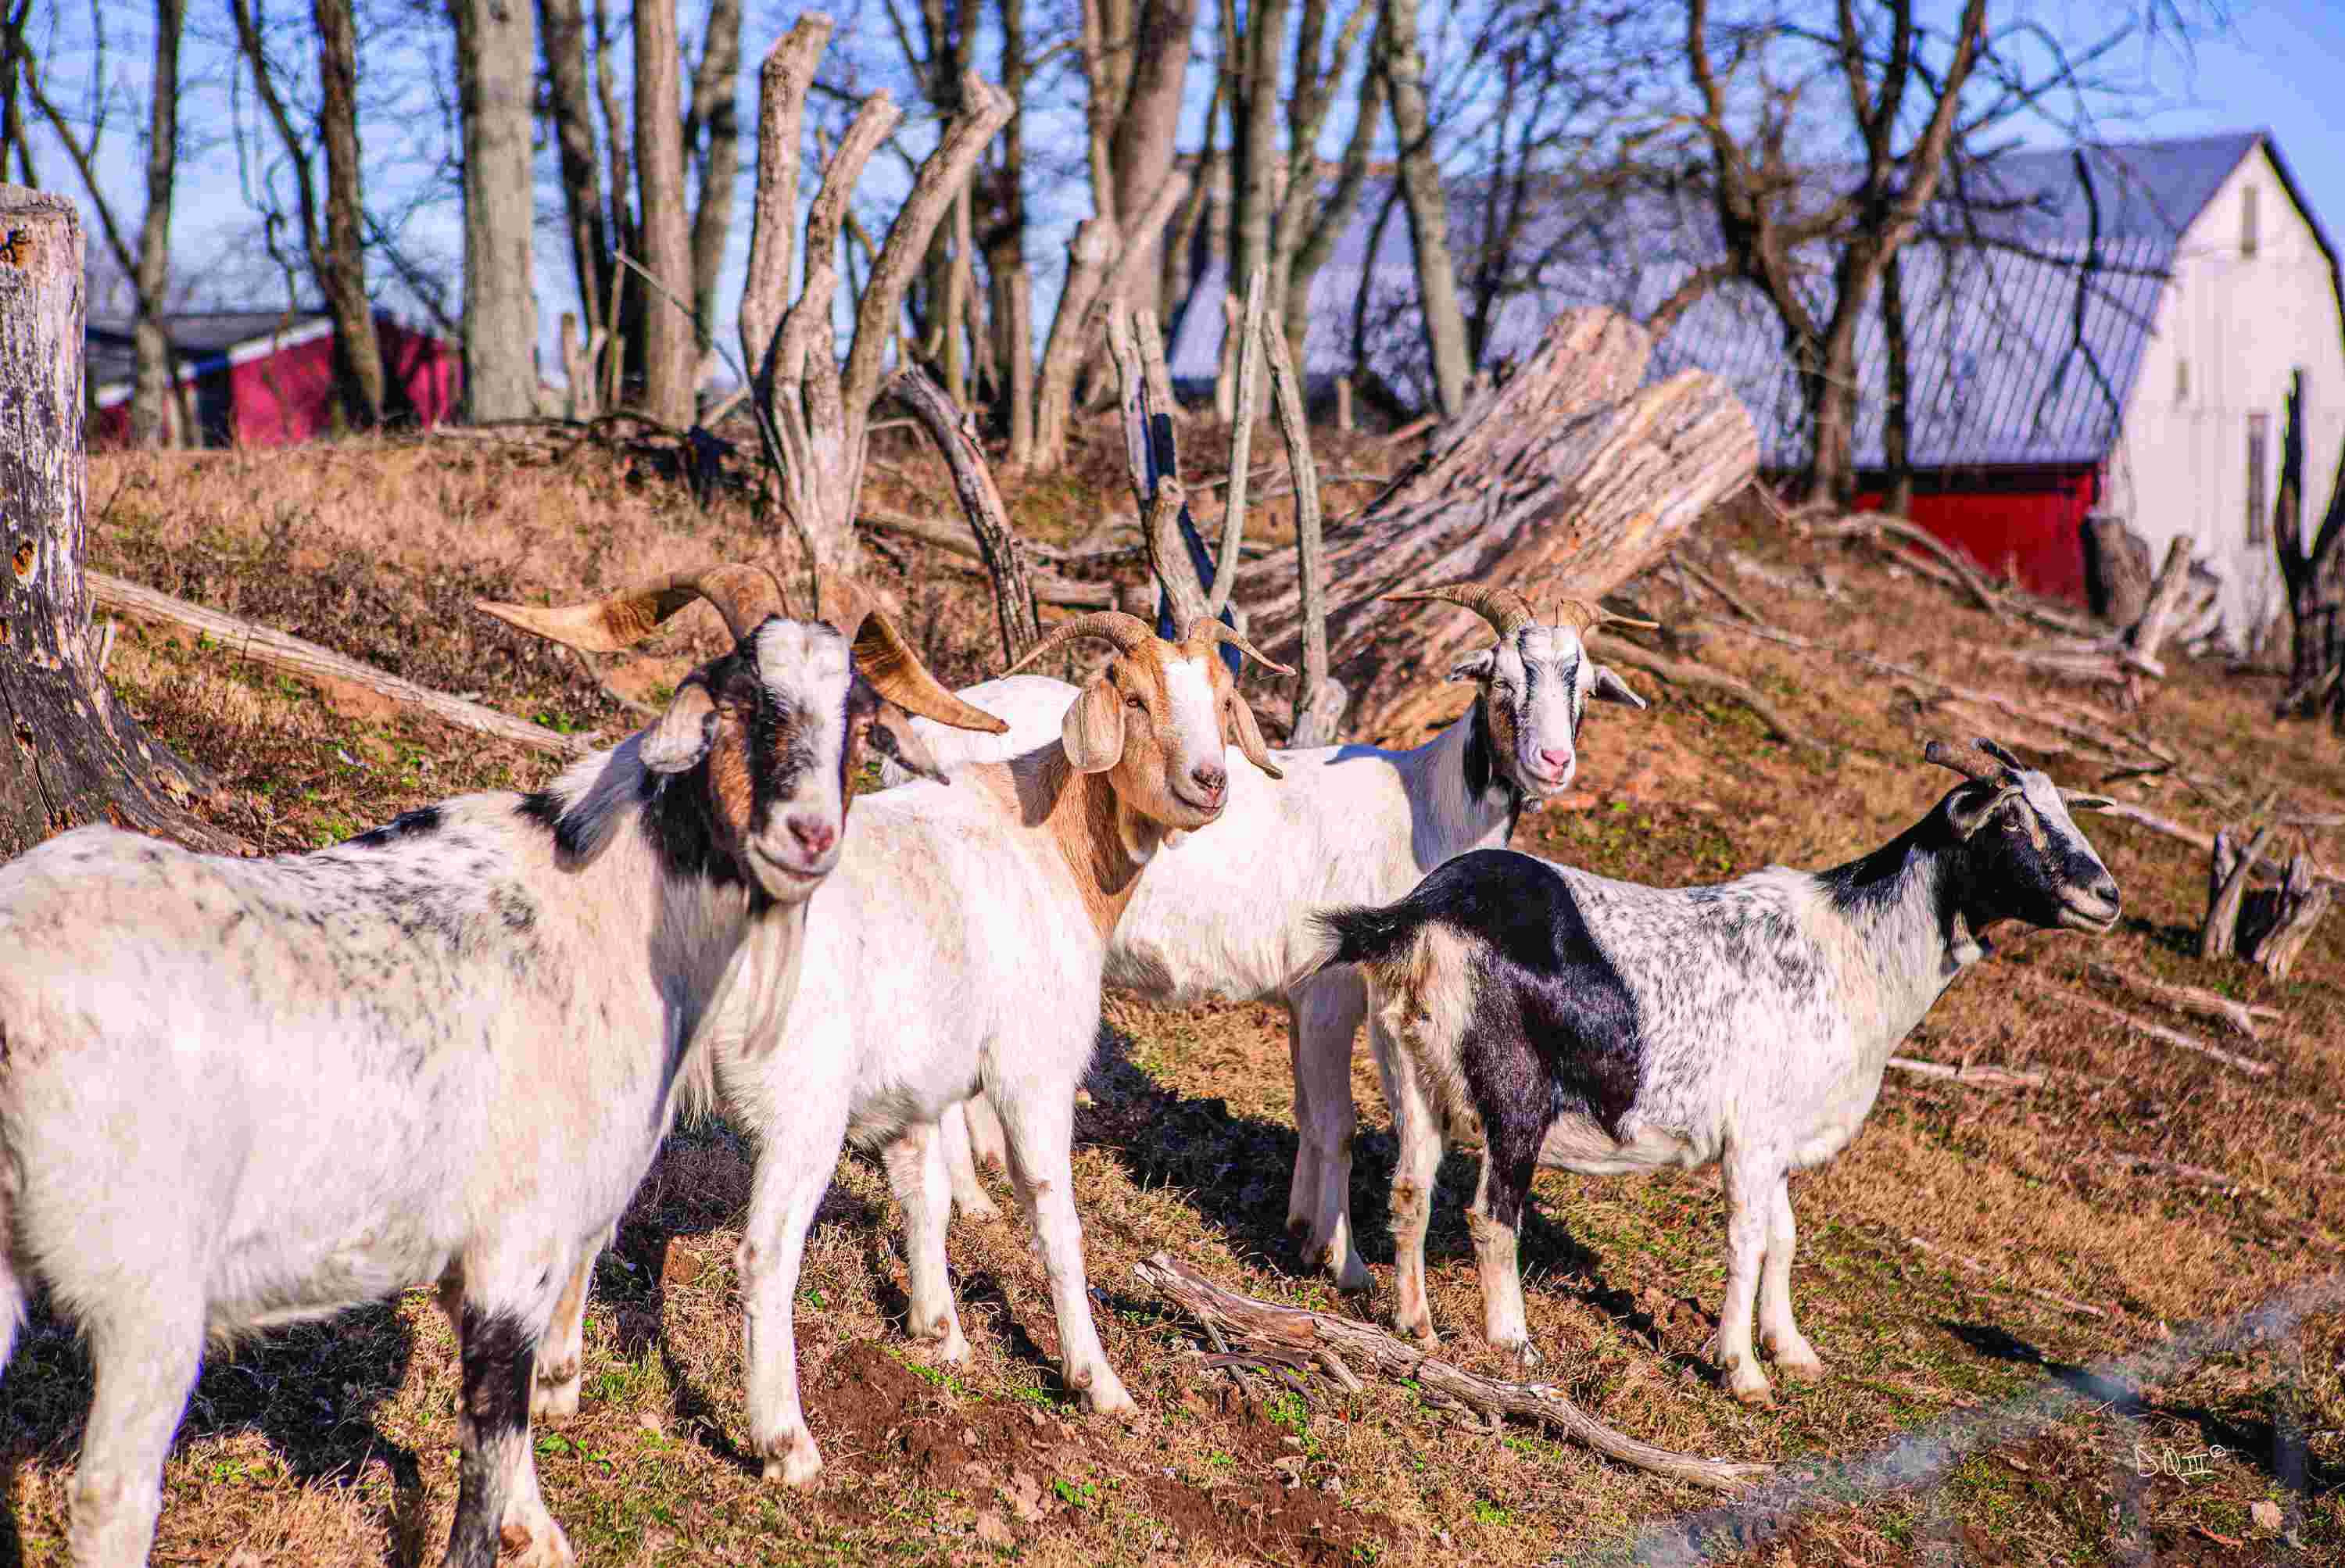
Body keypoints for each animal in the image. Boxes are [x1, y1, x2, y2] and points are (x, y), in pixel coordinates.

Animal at [0, 566, 1003, 1568]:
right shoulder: (509, 1252)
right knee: (111, 1494)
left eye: (860, 722)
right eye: (740, 701)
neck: (600, 902)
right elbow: (483, 1464)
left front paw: (539, 1525)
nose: (809, 835)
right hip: (147, 1286)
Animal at [913, 584, 1650, 1289]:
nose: (1553, 761)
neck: (1423, 812)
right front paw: (1345, 1264)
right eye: (1500, 679)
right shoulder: (1331, 992)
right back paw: (973, 1200)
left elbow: (1306, 1112)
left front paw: (1302, 1228)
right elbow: (1338, 1125)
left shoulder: (1303, 1000)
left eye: (1585, 687)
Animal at [1311, 738, 2121, 1404]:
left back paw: (1416, 1325)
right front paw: (1743, 1371)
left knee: (1411, 1189)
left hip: (1410, 1069)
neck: (1853, 950)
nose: (2107, 896)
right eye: (2011, 822)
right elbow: (1748, 1239)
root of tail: (1422, 916)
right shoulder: (1752, 1136)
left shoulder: (1780, 1138)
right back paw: (1513, 1342)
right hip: (1514, 1095)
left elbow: (1786, 1236)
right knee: (1491, 1213)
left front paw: (1792, 1351)